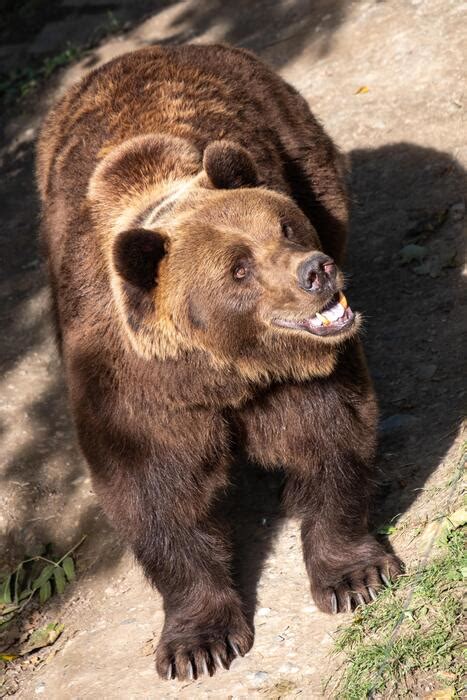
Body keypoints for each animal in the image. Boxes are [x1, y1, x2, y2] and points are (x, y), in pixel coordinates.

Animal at [36, 44, 402, 681]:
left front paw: (353, 574)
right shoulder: (133, 394)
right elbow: (156, 498)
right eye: (239, 268)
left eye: (284, 224)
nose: (316, 271)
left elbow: (329, 436)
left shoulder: (298, 375)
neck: (222, 372)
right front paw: (198, 645)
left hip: (309, 161)